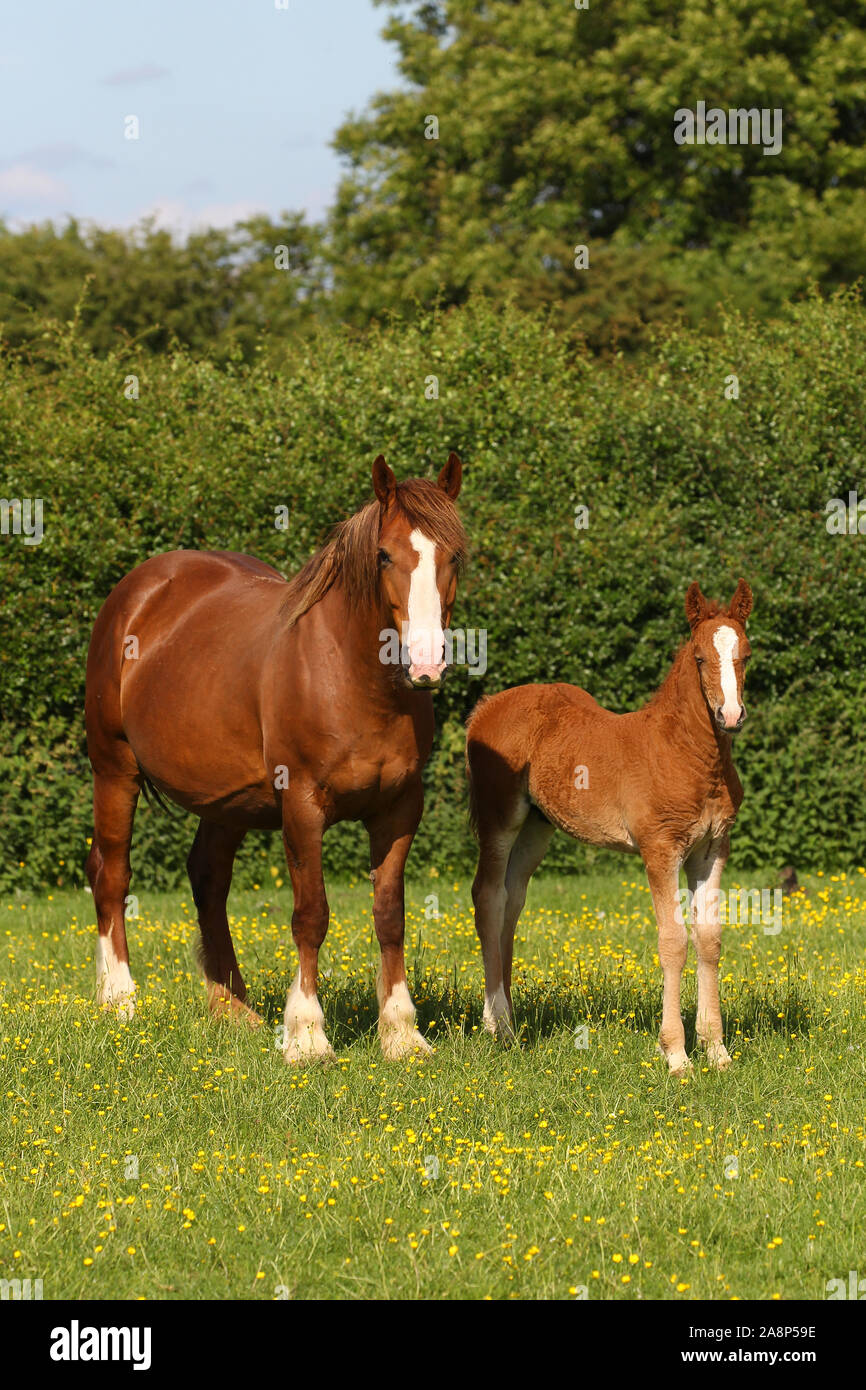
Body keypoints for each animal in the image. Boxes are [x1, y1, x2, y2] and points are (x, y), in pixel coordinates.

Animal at [84, 454, 465, 1063]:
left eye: (455, 555)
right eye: (384, 555)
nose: (425, 664)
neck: (353, 678)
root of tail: (139, 590)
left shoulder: (399, 810)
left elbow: (390, 916)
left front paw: (402, 1033)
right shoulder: (303, 807)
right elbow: (311, 915)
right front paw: (307, 1034)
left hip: (225, 801)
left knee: (207, 879)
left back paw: (231, 1009)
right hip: (113, 769)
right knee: (112, 875)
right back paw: (119, 1000)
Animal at [466, 580, 753, 1076]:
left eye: (747, 655)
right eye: (700, 658)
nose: (731, 716)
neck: (687, 754)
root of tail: (485, 708)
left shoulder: (712, 850)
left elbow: (710, 940)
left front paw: (717, 1051)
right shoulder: (660, 850)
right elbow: (674, 941)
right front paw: (676, 1055)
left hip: (537, 828)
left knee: (510, 900)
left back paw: (505, 1021)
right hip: (500, 818)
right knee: (486, 897)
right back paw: (498, 1026)